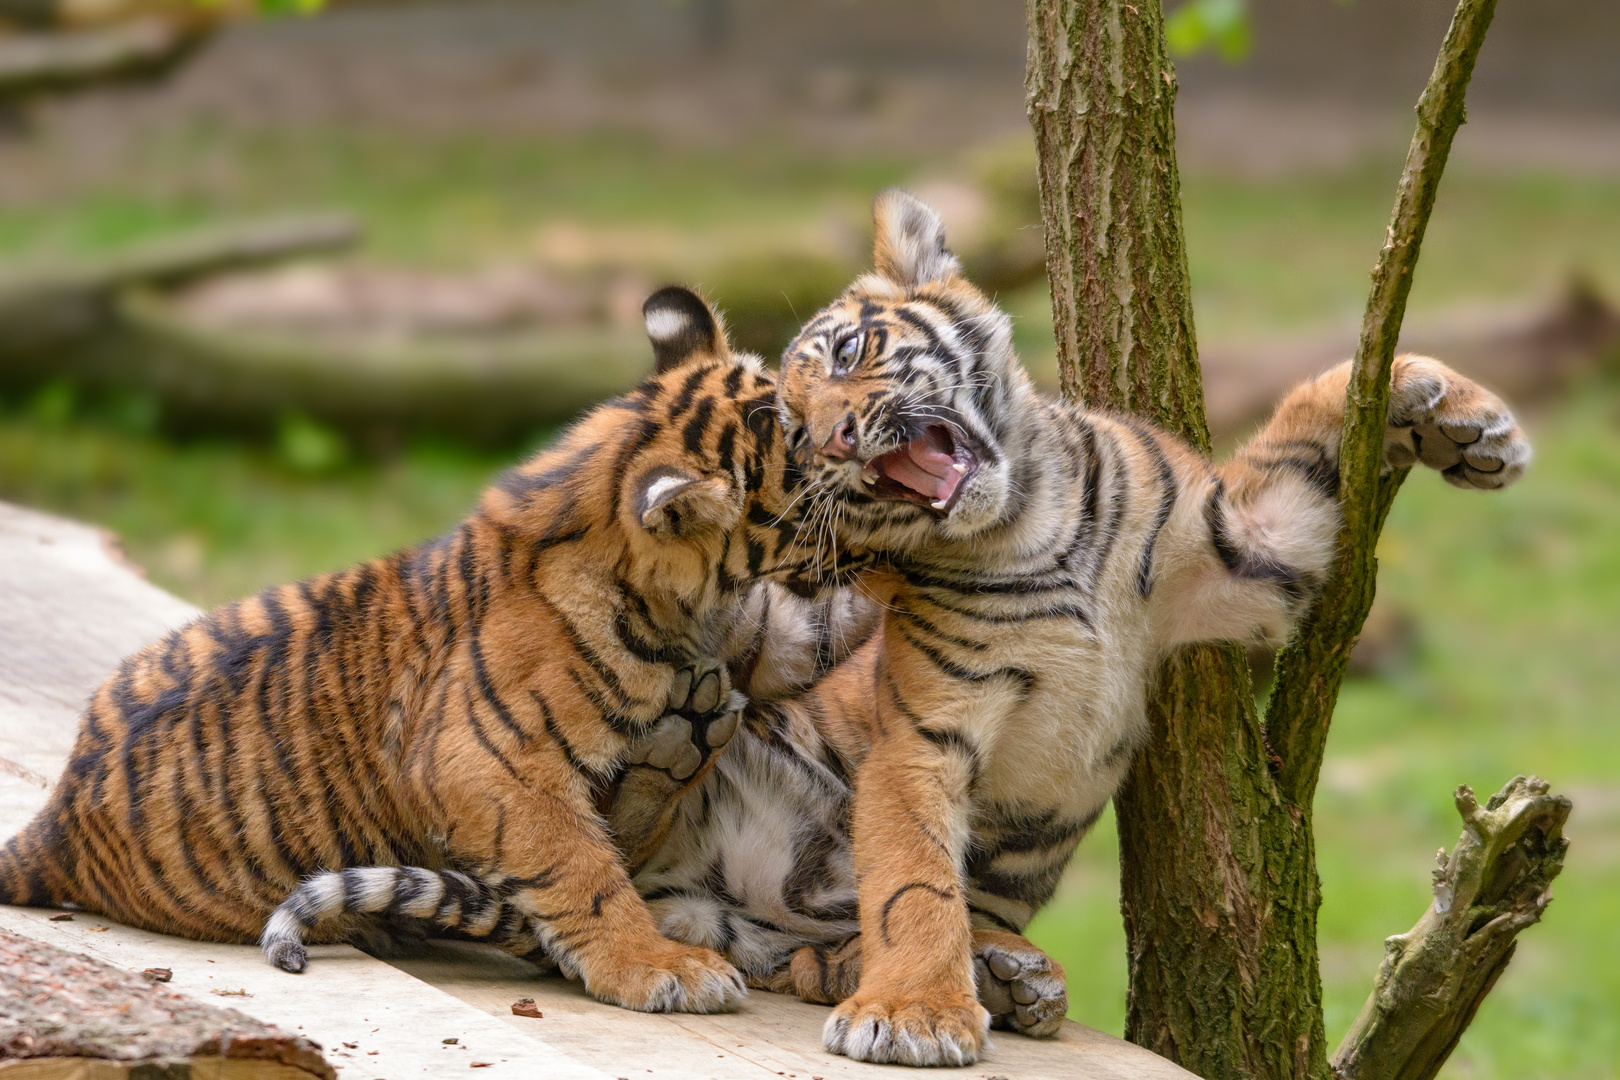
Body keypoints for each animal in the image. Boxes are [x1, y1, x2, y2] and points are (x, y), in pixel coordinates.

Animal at [0, 285, 874, 1015]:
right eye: (806, 465)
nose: (876, 460)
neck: (687, 602)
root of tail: (54, 824)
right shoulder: (485, 765)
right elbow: (583, 873)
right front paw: (657, 969)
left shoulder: (760, 634)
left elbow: (825, 626)